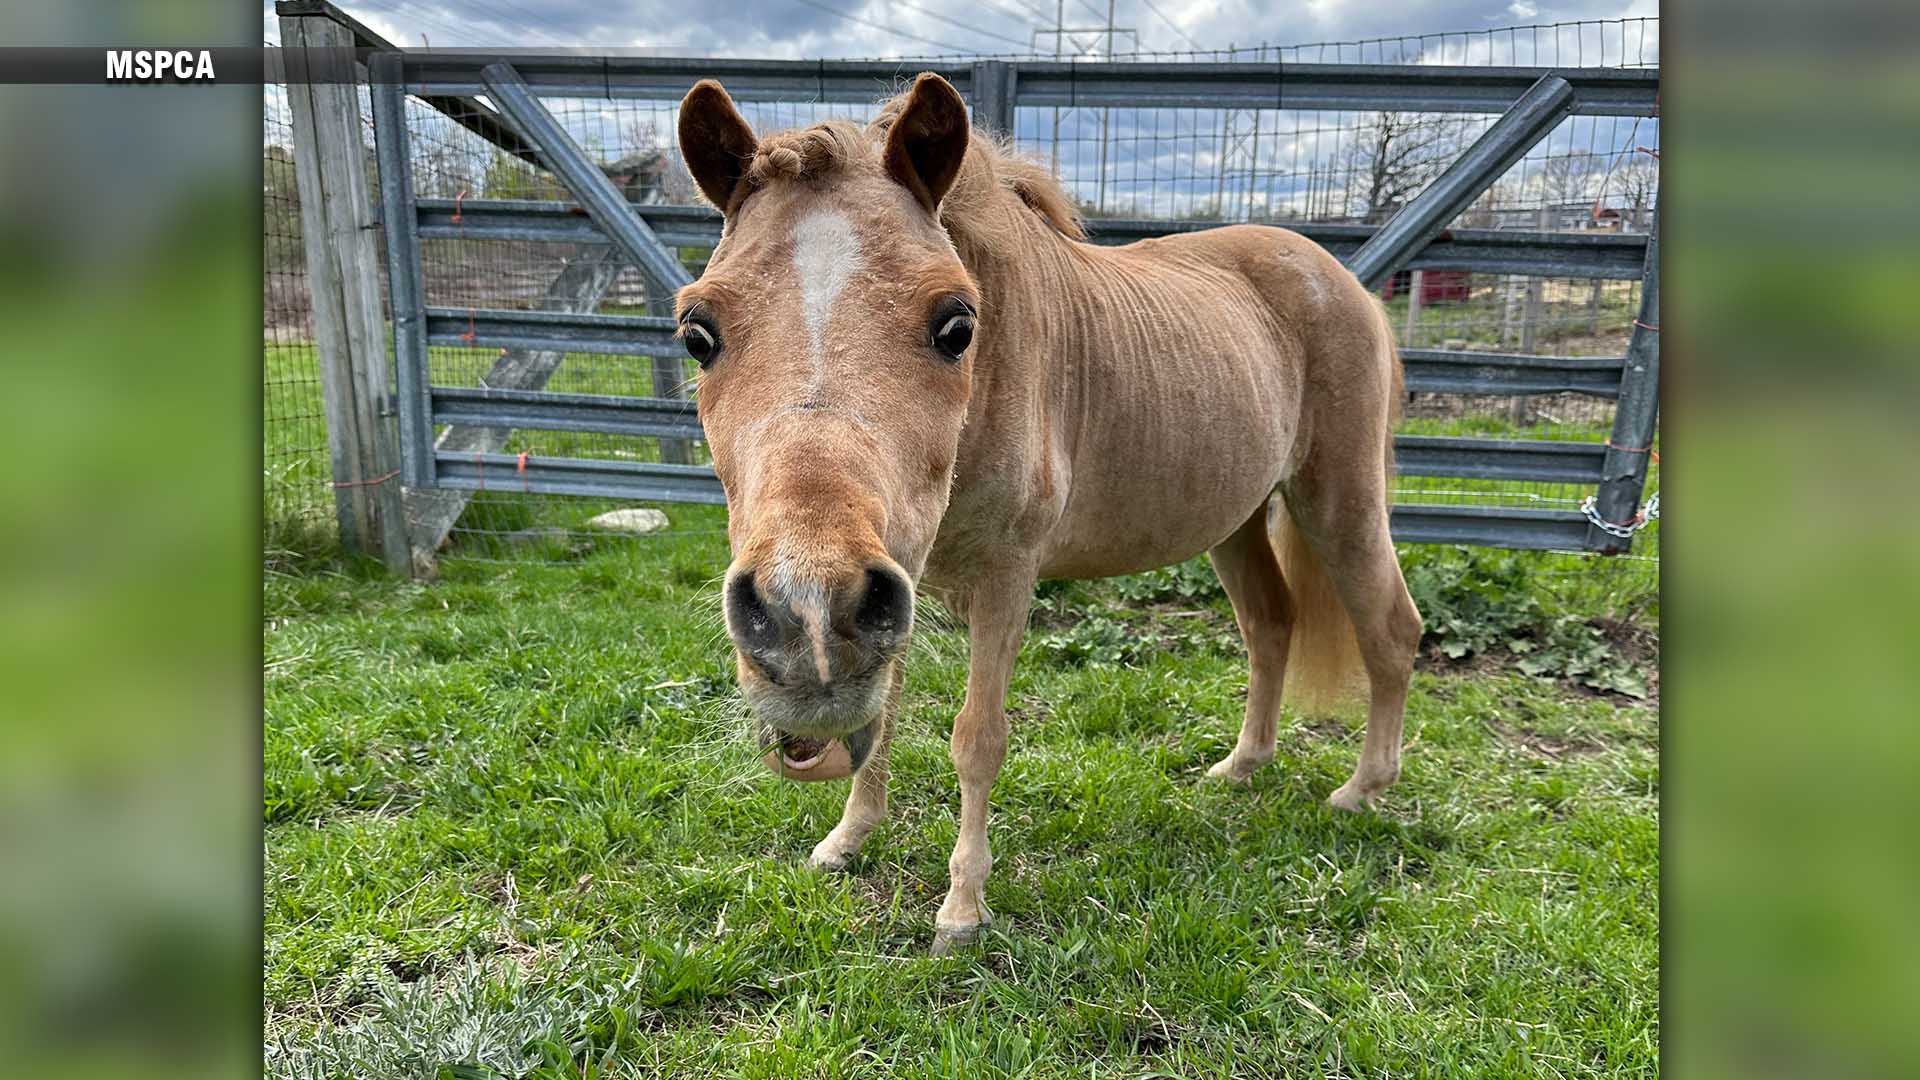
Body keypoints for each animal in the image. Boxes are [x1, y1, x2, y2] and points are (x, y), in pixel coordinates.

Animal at [674, 73, 1422, 954]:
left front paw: (962, 909)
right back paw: (1242, 767)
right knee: (1271, 626)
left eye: (956, 324)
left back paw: (1362, 789)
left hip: (1340, 502)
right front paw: (848, 840)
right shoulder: (898, 575)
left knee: (1390, 630)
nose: (806, 618)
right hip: (1236, 524)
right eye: (697, 334)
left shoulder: (1004, 575)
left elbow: (977, 740)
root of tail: (1342, 281)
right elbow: (882, 720)